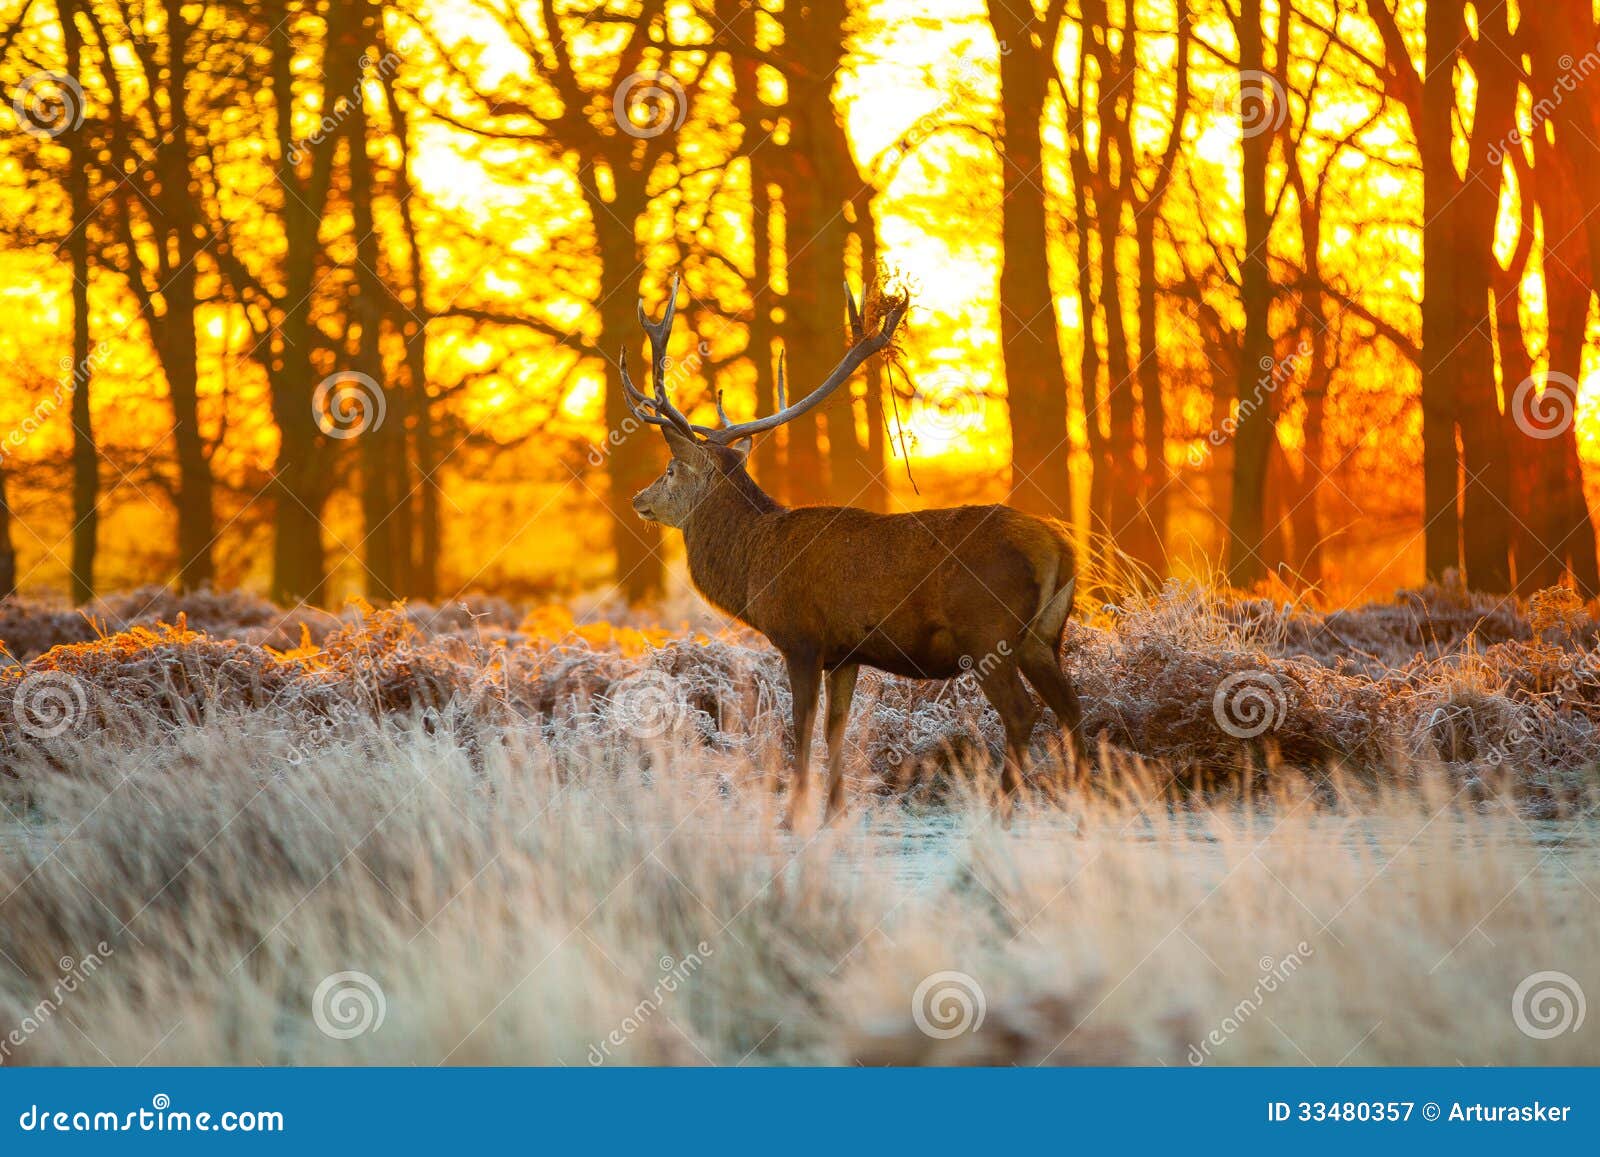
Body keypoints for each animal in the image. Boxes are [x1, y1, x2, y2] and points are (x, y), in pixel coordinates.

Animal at [620, 274, 1086, 828]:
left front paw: (792, 814)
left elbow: (800, 726)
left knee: (1023, 712)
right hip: (1045, 635)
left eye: (670, 470)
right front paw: (833, 811)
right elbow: (835, 728)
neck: (754, 567)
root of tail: (1058, 546)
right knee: (1072, 706)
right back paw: (1087, 801)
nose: (638, 499)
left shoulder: (799, 638)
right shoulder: (845, 653)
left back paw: (1001, 807)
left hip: (988, 631)